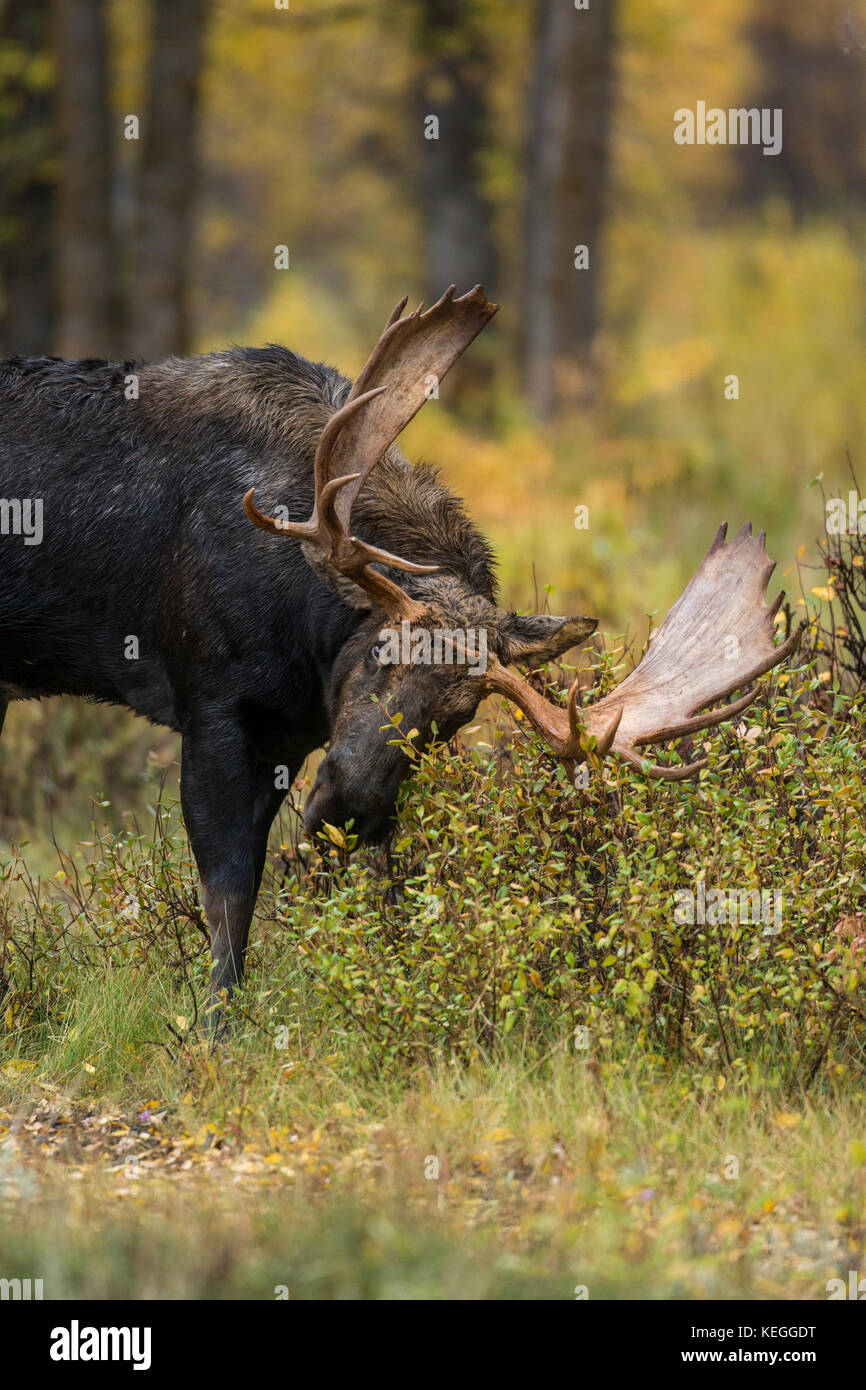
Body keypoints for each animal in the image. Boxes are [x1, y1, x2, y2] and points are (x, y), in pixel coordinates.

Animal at [0, 286, 798, 1027]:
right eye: (380, 651)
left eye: (458, 717)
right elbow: (227, 890)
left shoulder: (292, 737)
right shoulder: (213, 707)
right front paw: (216, 1031)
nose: (345, 809)